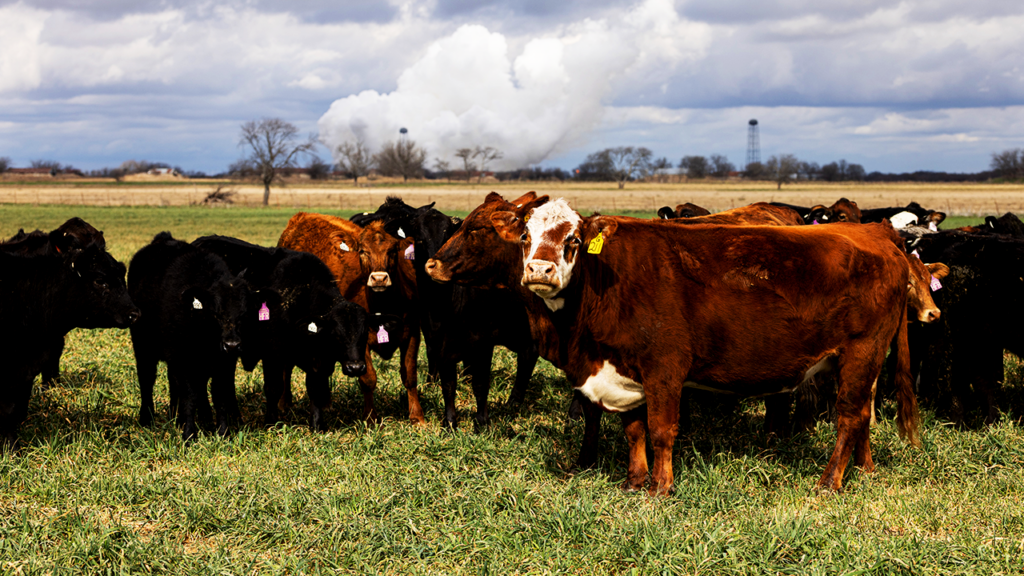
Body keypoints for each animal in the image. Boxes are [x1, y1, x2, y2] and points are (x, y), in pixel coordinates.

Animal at [128, 232, 250, 441]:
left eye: (243, 314)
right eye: (215, 313)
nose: (232, 344)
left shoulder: (224, 363)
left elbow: (219, 394)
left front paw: (222, 432)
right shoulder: (183, 359)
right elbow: (190, 395)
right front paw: (189, 434)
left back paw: (182, 418)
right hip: (143, 346)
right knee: (147, 379)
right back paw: (147, 419)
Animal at [192, 235, 370, 430]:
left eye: (364, 333)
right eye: (336, 333)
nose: (355, 367)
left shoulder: (317, 362)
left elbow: (315, 389)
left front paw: (317, 425)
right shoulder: (273, 354)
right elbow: (274, 388)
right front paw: (271, 422)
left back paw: (234, 418)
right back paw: (207, 420)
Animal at [278, 213, 423, 424]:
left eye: (393, 250)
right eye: (363, 251)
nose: (379, 278)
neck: (384, 304)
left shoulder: (412, 333)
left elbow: (410, 376)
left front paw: (417, 416)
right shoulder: (360, 342)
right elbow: (368, 379)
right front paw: (370, 418)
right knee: (286, 364)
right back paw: (284, 403)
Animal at [485, 198, 921, 495]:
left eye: (573, 239)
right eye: (525, 236)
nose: (539, 270)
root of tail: (876, 232)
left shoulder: (664, 367)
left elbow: (661, 429)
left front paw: (660, 487)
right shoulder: (624, 370)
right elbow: (634, 430)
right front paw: (634, 481)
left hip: (862, 352)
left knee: (848, 416)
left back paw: (830, 481)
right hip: (859, 363)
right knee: (862, 414)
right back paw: (863, 469)